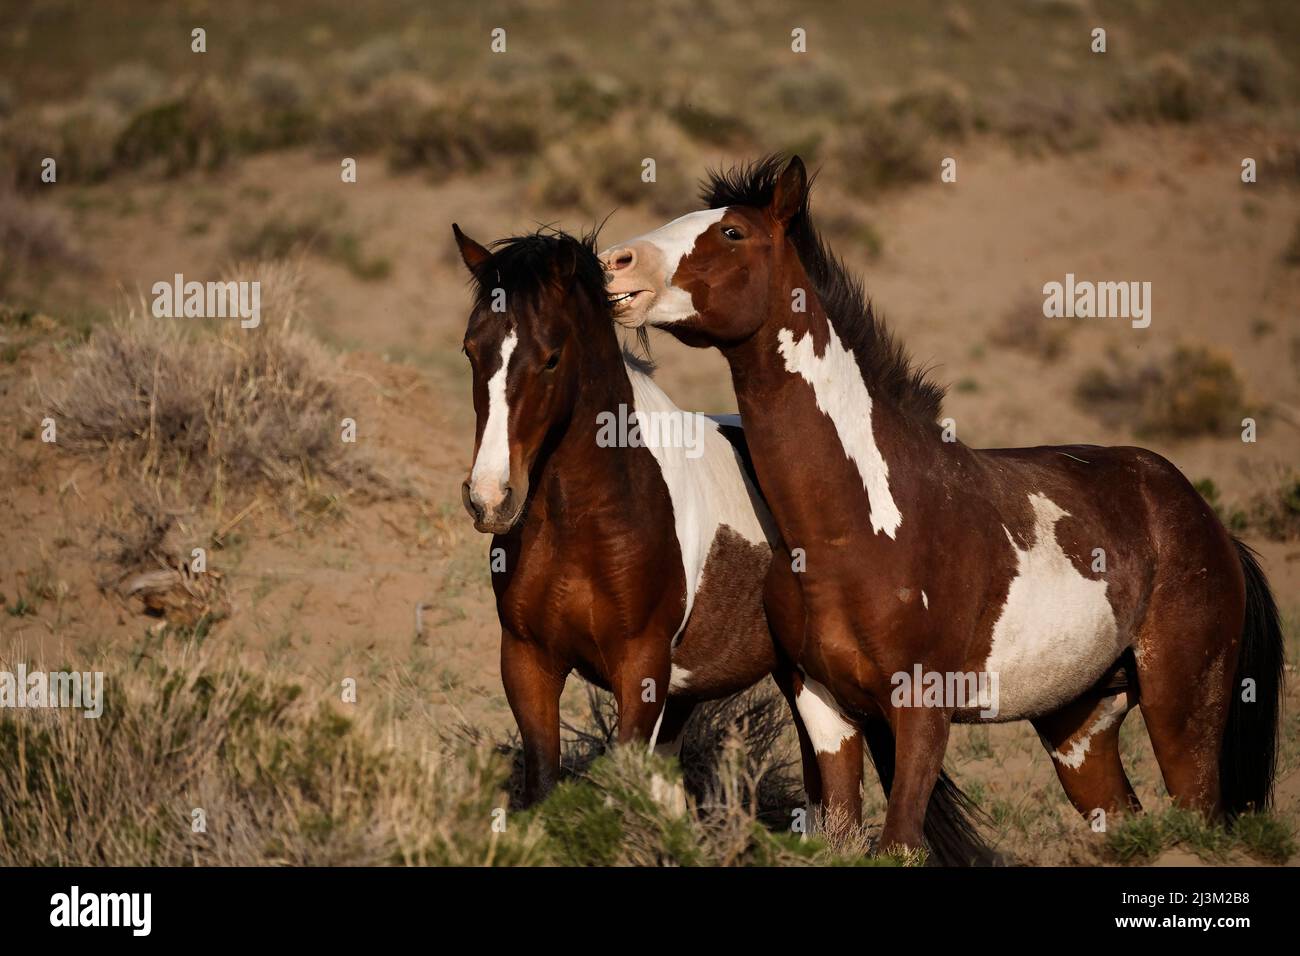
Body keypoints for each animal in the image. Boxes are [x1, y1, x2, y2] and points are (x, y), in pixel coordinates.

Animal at [452, 223, 990, 864]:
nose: (490, 499)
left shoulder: (640, 667)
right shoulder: (527, 659)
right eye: (471, 350)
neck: (585, 520)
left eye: (552, 356)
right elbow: (543, 784)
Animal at [599, 155, 1285, 855]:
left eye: (732, 232)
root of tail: (1210, 525)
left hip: (1182, 708)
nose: (615, 263)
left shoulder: (924, 707)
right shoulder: (823, 706)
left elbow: (902, 840)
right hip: (1080, 722)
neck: (857, 529)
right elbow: (841, 833)